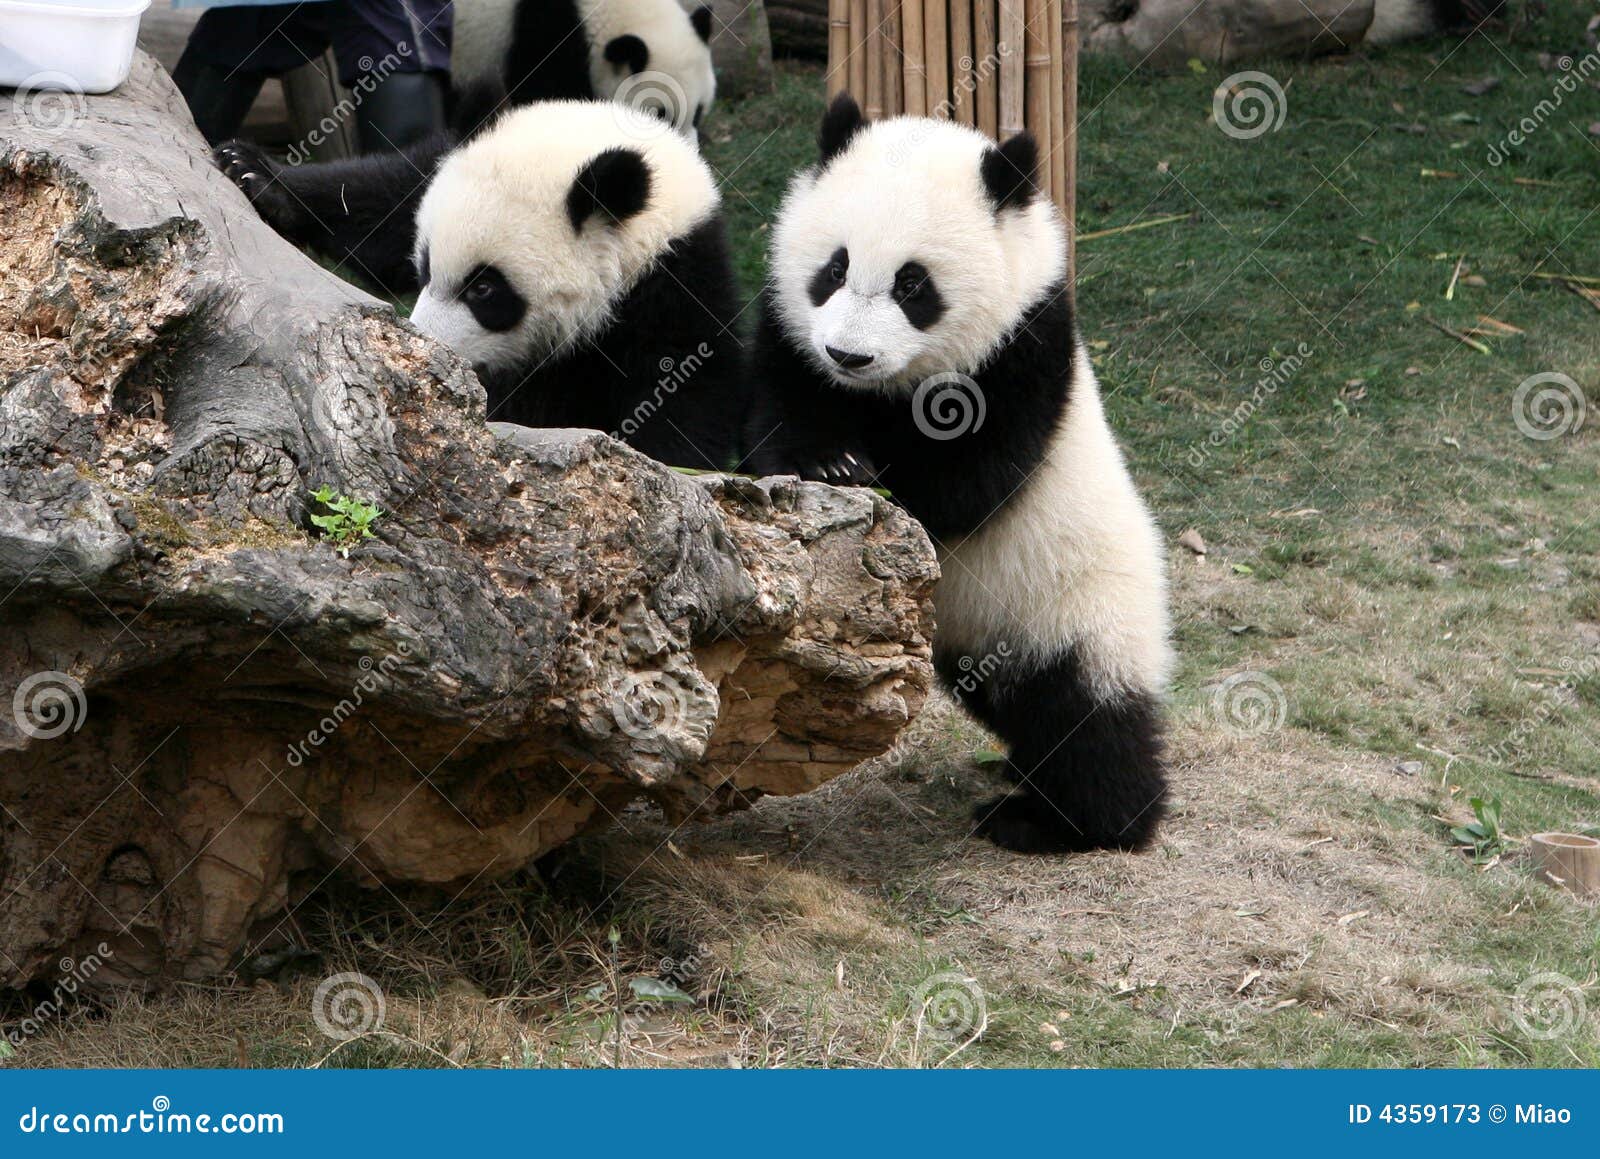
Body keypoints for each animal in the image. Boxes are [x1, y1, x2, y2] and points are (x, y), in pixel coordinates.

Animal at [745, 95, 1173, 854]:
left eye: (914, 284)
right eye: (833, 268)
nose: (848, 355)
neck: (886, 391)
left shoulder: (1024, 350)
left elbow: (969, 486)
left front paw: (882, 488)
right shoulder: (791, 335)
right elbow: (781, 407)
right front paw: (829, 462)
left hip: (1075, 606)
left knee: (1085, 722)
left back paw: (1065, 821)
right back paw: (1020, 775)